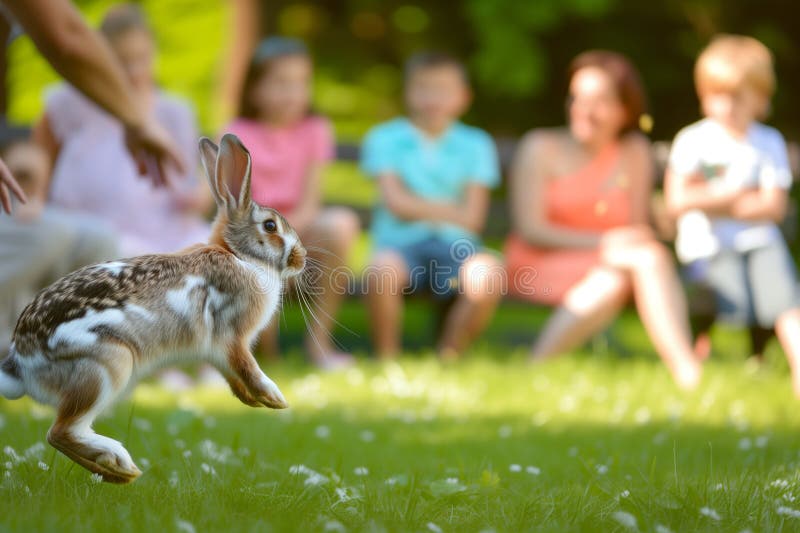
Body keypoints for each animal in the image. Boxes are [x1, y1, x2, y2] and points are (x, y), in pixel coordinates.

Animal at [0, 133, 306, 484]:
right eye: (270, 226)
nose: (302, 258)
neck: (238, 256)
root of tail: (20, 364)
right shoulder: (232, 336)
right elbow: (248, 367)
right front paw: (275, 398)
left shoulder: (218, 351)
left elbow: (233, 376)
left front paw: (252, 401)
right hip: (107, 364)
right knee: (60, 431)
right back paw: (119, 465)